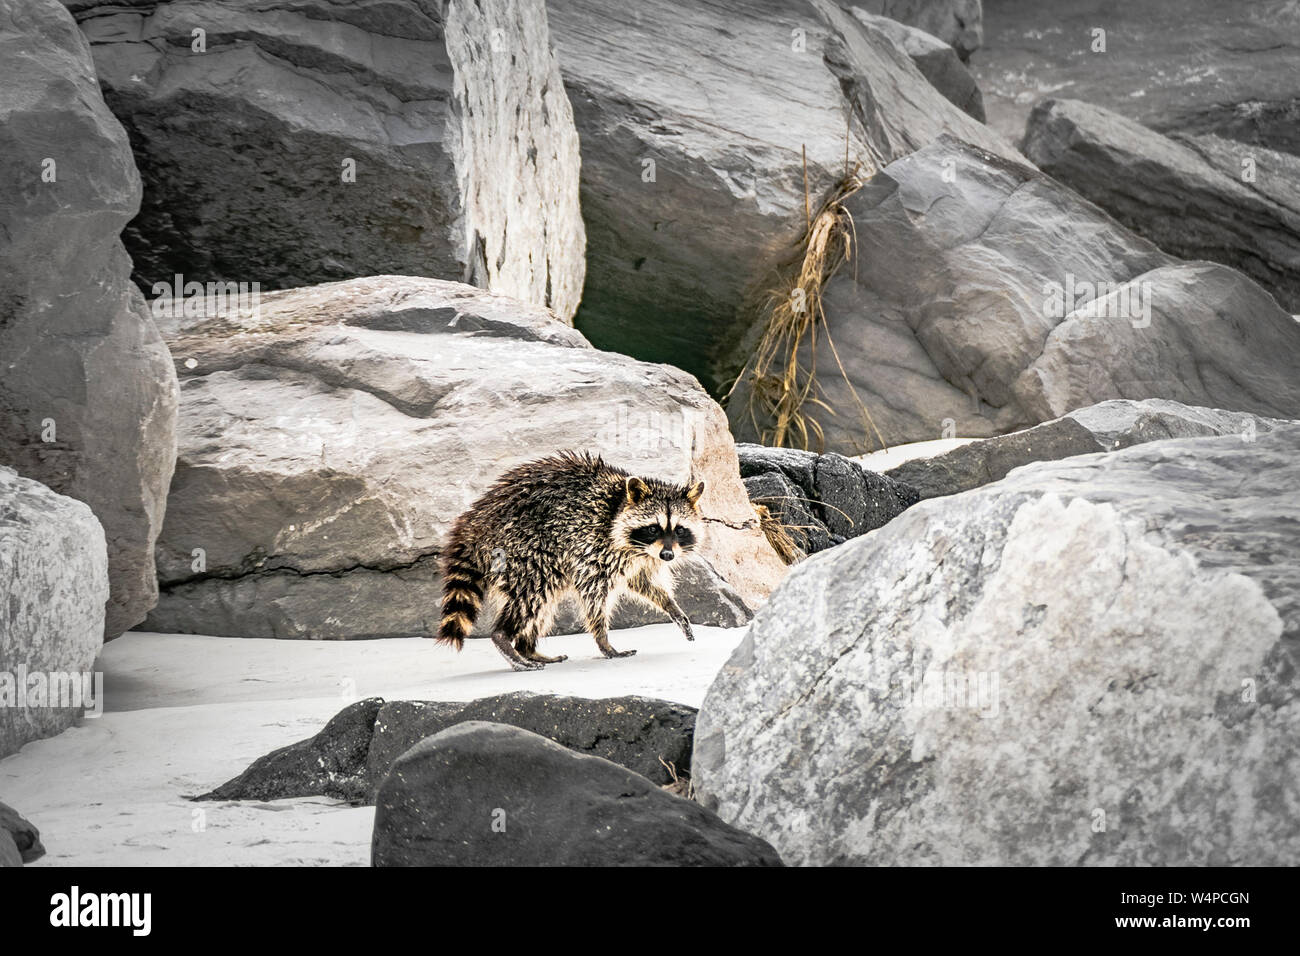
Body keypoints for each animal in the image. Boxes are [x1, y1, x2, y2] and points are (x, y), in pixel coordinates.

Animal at [436, 450, 704, 671]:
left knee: (542, 603)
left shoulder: (637, 560)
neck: (618, 506)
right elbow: (593, 597)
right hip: (522, 547)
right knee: (532, 595)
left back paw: (527, 648)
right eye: (653, 528)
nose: (667, 555)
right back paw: (505, 639)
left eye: (679, 530)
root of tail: (476, 521)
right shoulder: (592, 546)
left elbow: (642, 583)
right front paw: (603, 640)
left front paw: (671, 605)